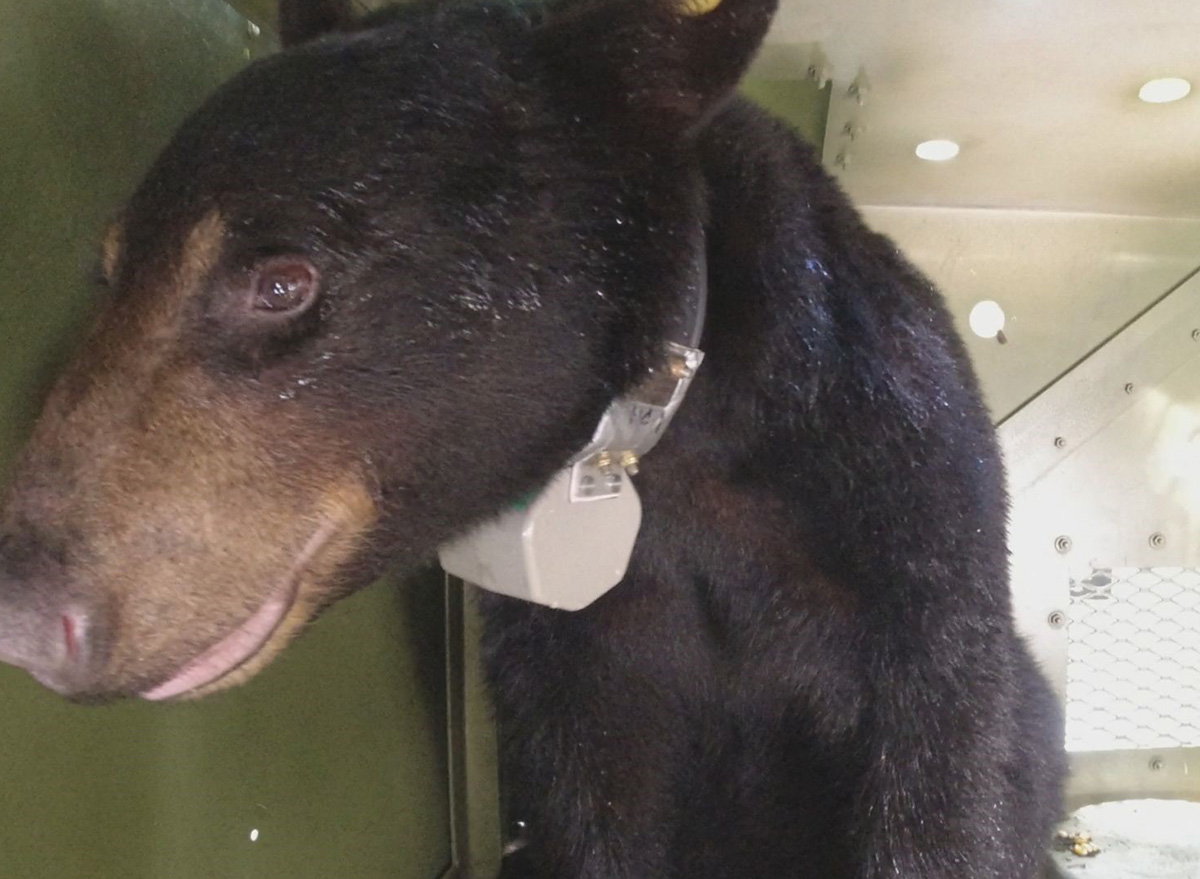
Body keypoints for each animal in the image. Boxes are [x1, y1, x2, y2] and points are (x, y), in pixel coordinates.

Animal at [0, 0, 1065, 876]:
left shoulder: (905, 521)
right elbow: (586, 802)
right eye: (108, 272)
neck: (666, 445)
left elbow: (945, 781)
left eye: (281, 279)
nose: (21, 608)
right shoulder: (568, 654)